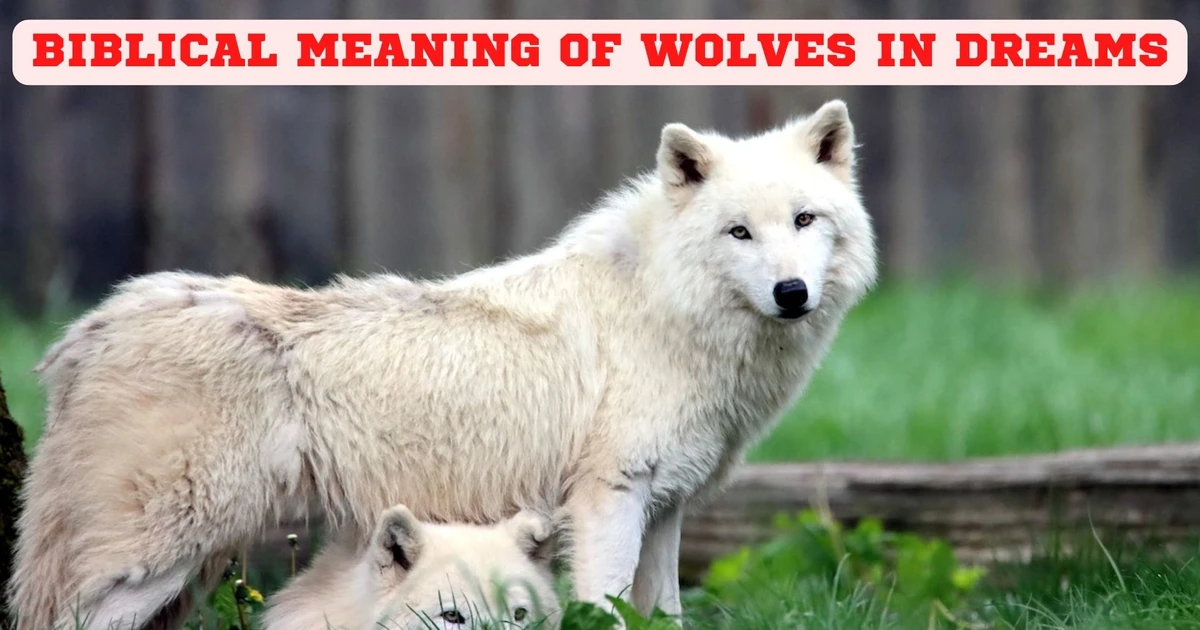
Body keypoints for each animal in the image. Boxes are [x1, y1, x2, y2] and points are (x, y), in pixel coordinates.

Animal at [9, 99, 877, 629]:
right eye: (740, 233)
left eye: (805, 220)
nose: (792, 293)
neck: (664, 309)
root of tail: (84, 332)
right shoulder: (610, 504)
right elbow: (605, 609)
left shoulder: (665, 511)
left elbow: (660, 613)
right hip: (146, 572)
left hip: (181, 578)